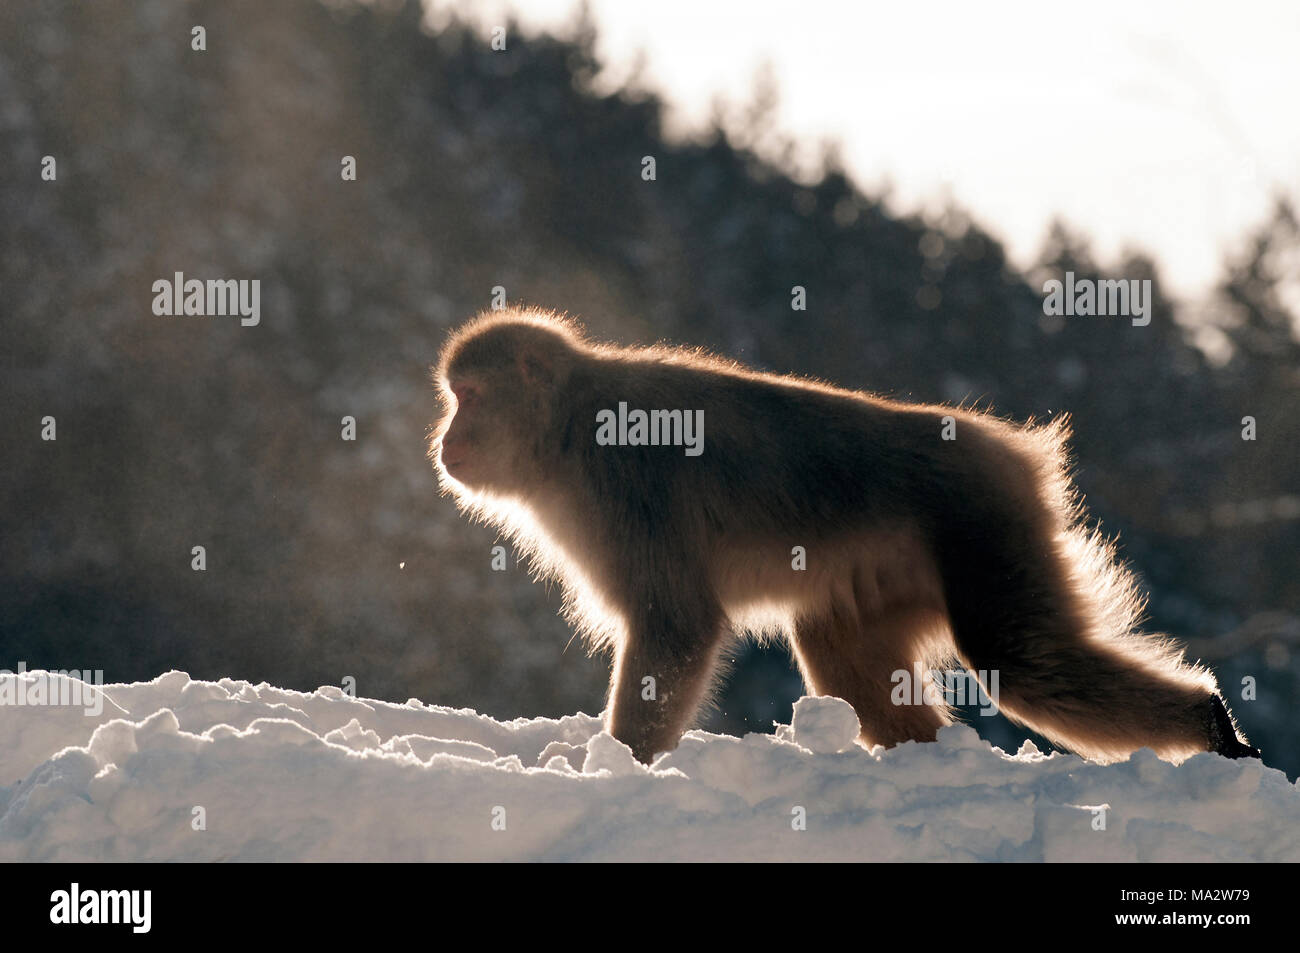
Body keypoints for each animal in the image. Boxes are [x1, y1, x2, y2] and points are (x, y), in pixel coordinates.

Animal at [430, 306, 1260, 766]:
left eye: (469, 397)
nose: (445, 438)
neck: (568, 435)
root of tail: (1010, 450)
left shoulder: (633, 494)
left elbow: (679, 626)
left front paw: (617, 767)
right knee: (838, 642)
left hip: (987, 522)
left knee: (1022, 660)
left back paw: (1210, 725)